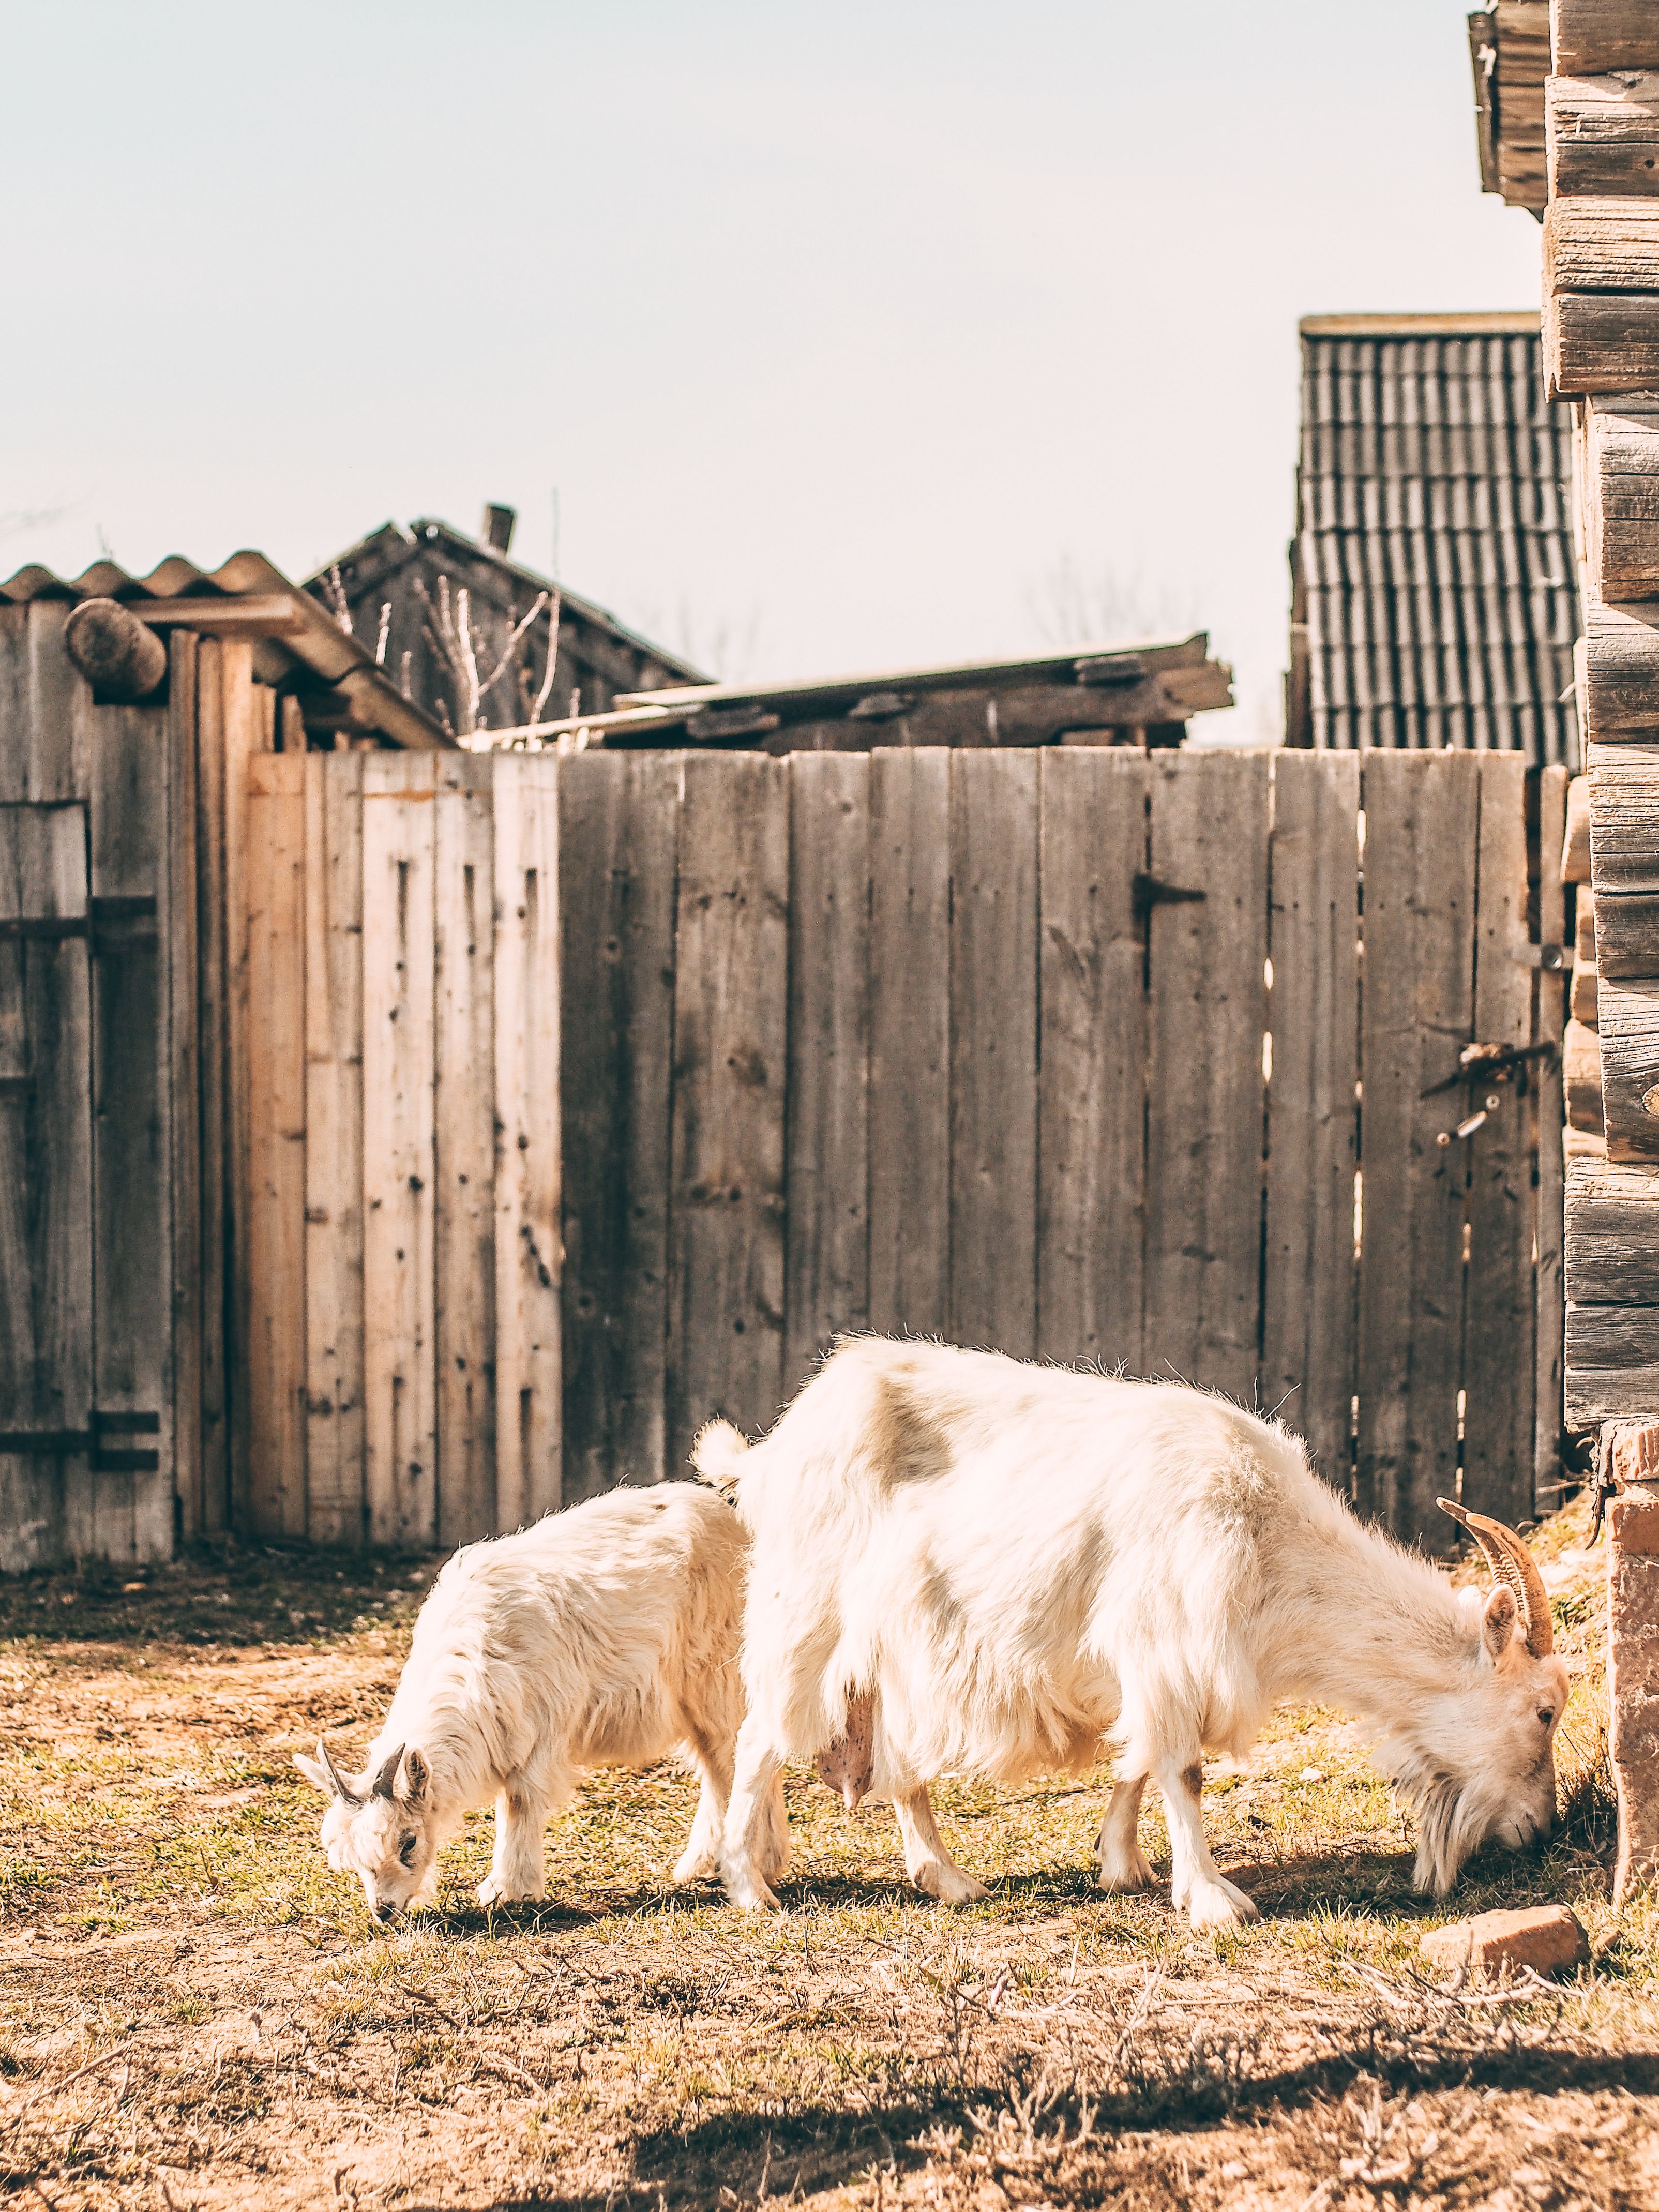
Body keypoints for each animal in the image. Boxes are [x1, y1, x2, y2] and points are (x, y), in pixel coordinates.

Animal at [294, 1482, 786, 1921]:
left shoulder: (544, 1727)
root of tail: (732, 1518)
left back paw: (756, 1863)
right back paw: (705, 1865)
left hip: (718, 1675)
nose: (383, 1911)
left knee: (732, 1758)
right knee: (718, 1764)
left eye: (408, 1841)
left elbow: (520, 1801)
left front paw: (508, 1889)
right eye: (352, 1859)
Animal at [699, 1336, 1567, 1929]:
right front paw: (1215, 1898)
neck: (1267, 1533)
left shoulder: (1150, 1662)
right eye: (1546, 1710)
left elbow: (1139, 1761)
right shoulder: (1168, 1640)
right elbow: (1181, 1768)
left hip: (893, 1650)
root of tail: (772, 1452)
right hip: (805, 1614)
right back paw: (749, 1886)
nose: (1541, 1830)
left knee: (895, 1761)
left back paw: (947, 1878)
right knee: (759, 1740)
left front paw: (1125, 1866)